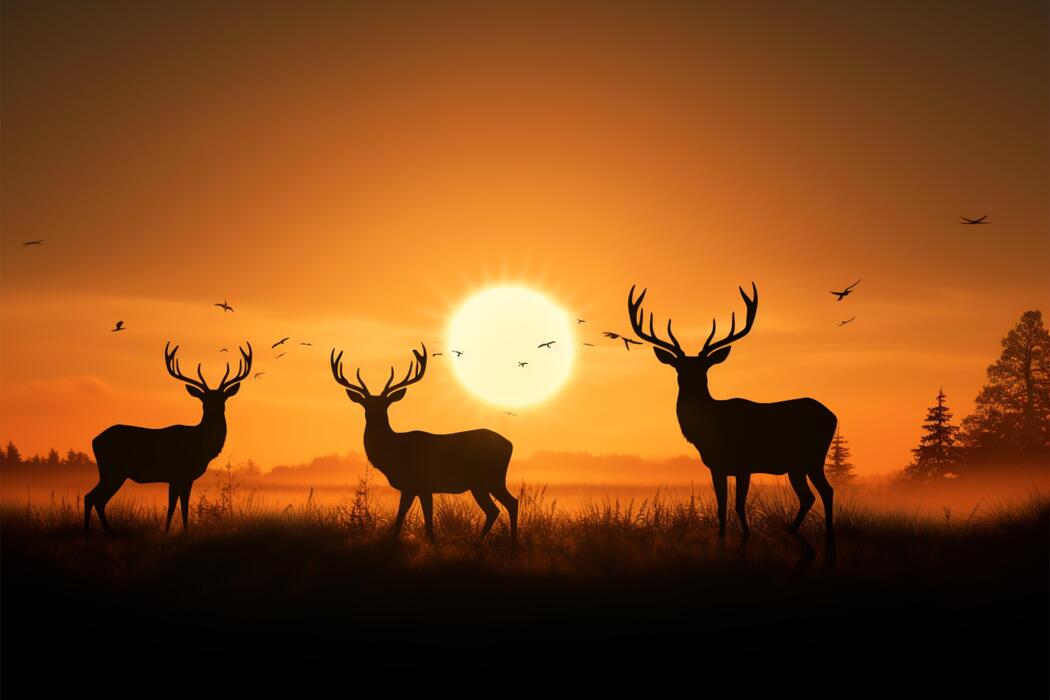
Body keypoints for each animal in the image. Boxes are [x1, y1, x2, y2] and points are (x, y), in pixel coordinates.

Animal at [85, 341, 253, 535]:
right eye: (204, 399)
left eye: (222, 398)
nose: (214, 410)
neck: (199, 445)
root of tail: (94, 440)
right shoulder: (178, 474)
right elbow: (178, 506)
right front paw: (175, 533)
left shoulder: (181, 478)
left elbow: (179, 506)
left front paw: (175, 532)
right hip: (113, 470)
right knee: (93, 497)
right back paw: (102, 533)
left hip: (112, 472)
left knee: (94, 498)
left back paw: (99, 533)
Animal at [329, 343, 518, 545]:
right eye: (366, 405)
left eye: (386, 404)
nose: (374, 417)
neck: (393, 451)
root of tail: (510, 445)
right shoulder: (410, 487)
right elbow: (400, 521)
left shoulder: (422, 484)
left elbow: (426, 523)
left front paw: (433, 546)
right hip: (482, 483)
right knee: (498, 508)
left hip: (489, 479)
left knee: (508, 504)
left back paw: (503, 544)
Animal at [628, 283, 837, 550]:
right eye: (679, 367)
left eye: (704, 368)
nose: (690, 382)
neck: (710, 429)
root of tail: (833, 416)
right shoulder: (717, 467)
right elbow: (721, 508)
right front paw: (722, 538)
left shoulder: (744, 464)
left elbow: (738, 505)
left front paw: (746, 536)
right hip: (797, 465)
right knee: (811, 495)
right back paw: (796, 532)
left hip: (812, 457)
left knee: (825, 491)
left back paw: (823, 536)